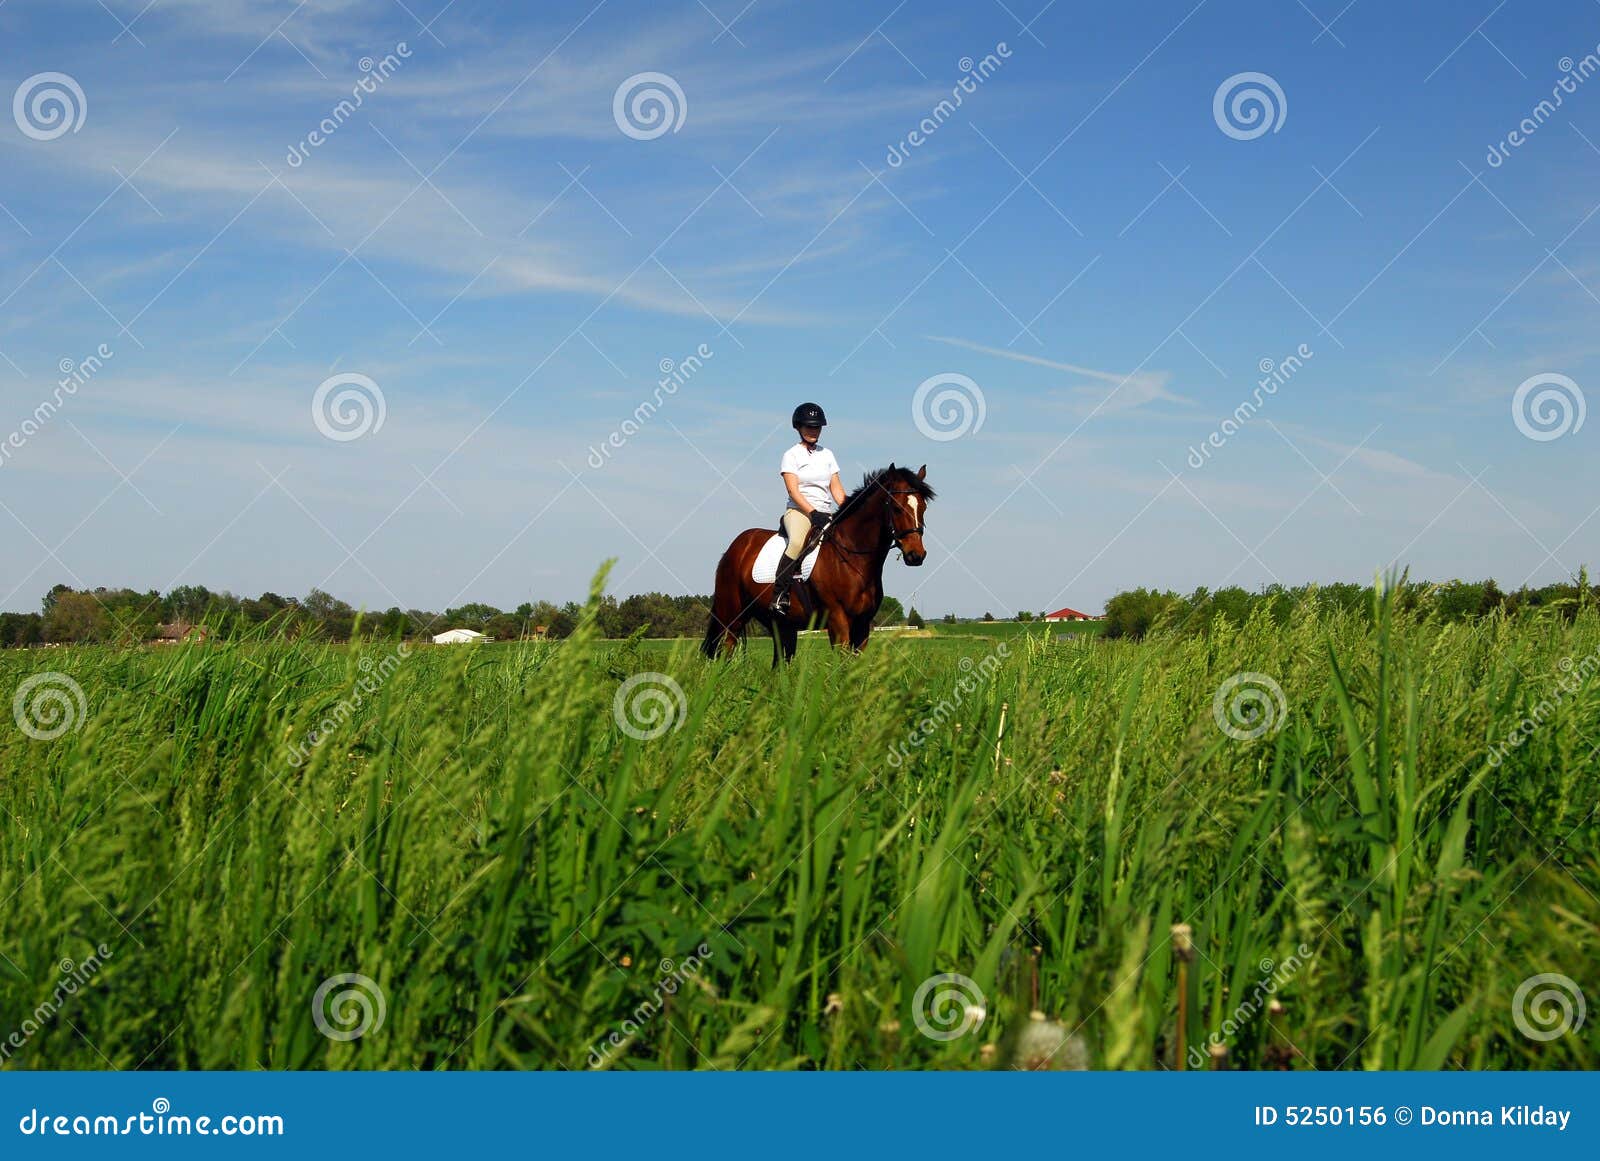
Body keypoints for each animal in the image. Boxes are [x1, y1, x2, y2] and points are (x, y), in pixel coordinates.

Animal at [701, 464, 932, 664]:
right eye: (897, 508)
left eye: (923, 507)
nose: (916, 555)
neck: (853, 558)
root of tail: (736, 547)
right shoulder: (837, 619)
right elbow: (842, 663)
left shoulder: (862, 624)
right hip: (731, 616)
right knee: (725, 650)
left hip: (779, 623)